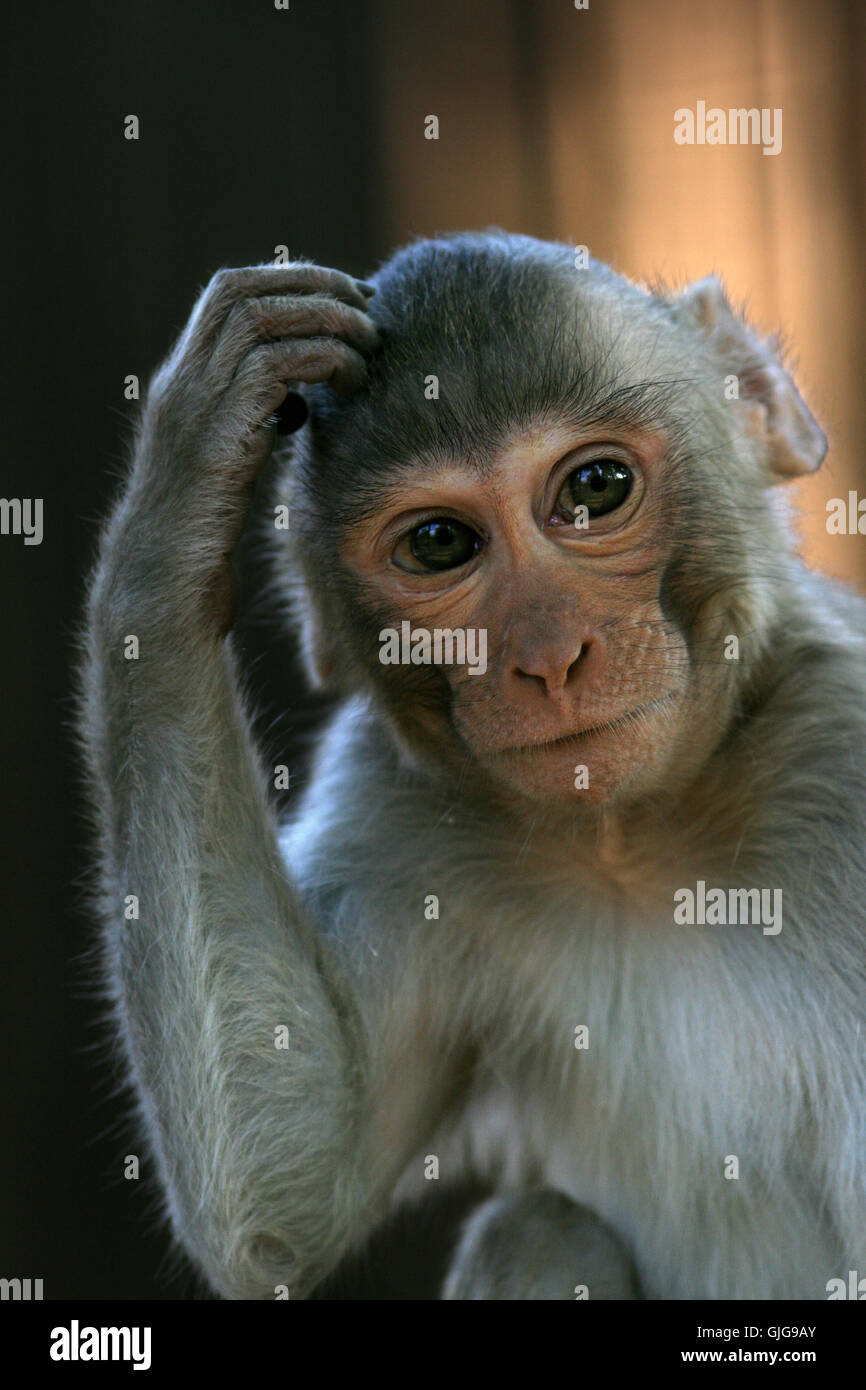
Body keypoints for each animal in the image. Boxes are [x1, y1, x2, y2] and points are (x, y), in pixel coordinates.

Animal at [80, 230, 866, 1301]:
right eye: (439, 543)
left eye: (594, 490)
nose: (550, 657)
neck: (637, 836)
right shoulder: (395, 807)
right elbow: (291, 1189)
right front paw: (176, 503)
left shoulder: (843, 746)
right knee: (537, 1226)